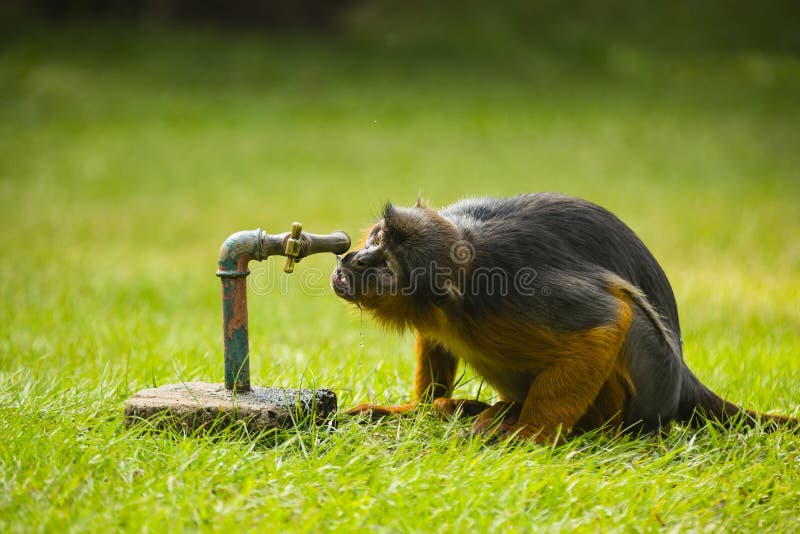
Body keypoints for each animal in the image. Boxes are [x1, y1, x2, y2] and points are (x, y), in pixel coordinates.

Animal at [330, 193, 797, 443]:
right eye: (376, 238)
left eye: (386, 265)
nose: (355, 260)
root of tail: (682, 380)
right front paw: (414, 410)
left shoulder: (504, 294)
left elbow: (606, 319)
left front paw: (529, 435)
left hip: (651, 383)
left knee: (627, 310)